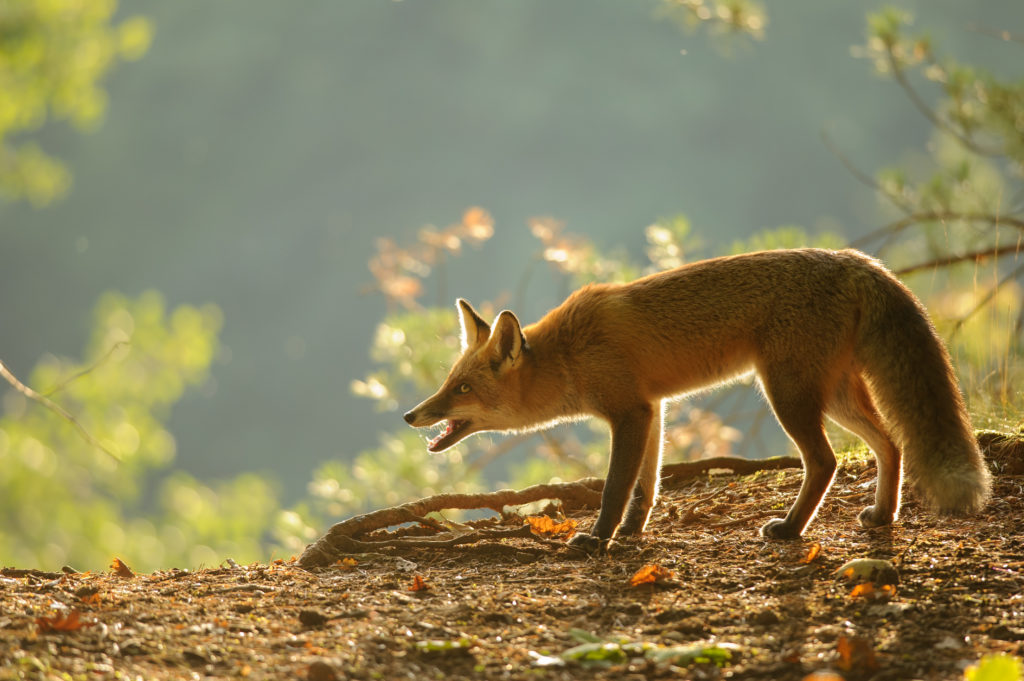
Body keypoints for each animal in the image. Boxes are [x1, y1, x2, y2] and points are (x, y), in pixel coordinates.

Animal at [403, 248, 991, 553]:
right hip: (837, 395)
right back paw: (882, 515)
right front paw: (632, 534)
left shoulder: (629, 412)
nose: (412, 415)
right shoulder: (652, 408)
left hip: (788, 394)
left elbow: (615, 488)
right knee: (891, 444)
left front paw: (598, 540)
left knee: (825, 462)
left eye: (461, 389)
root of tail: (854, 259)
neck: (570, 353)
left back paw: (790, 530)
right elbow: (647, 486)